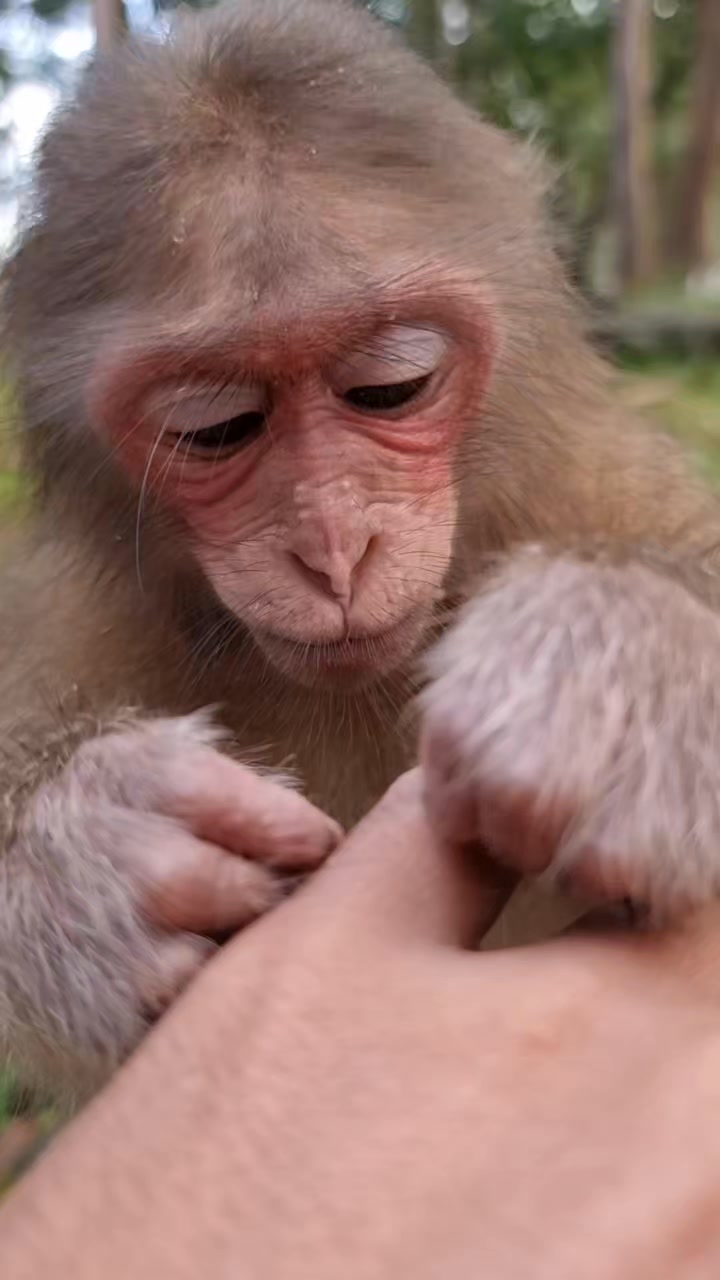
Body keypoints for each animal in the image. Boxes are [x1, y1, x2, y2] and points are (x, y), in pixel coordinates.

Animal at [1, 0, 720, 1105]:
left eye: (391, 387)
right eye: (217, 429)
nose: (335, 550)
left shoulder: (591, 478)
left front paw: (629, 659)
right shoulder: (83, 610)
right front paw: (79, 858)